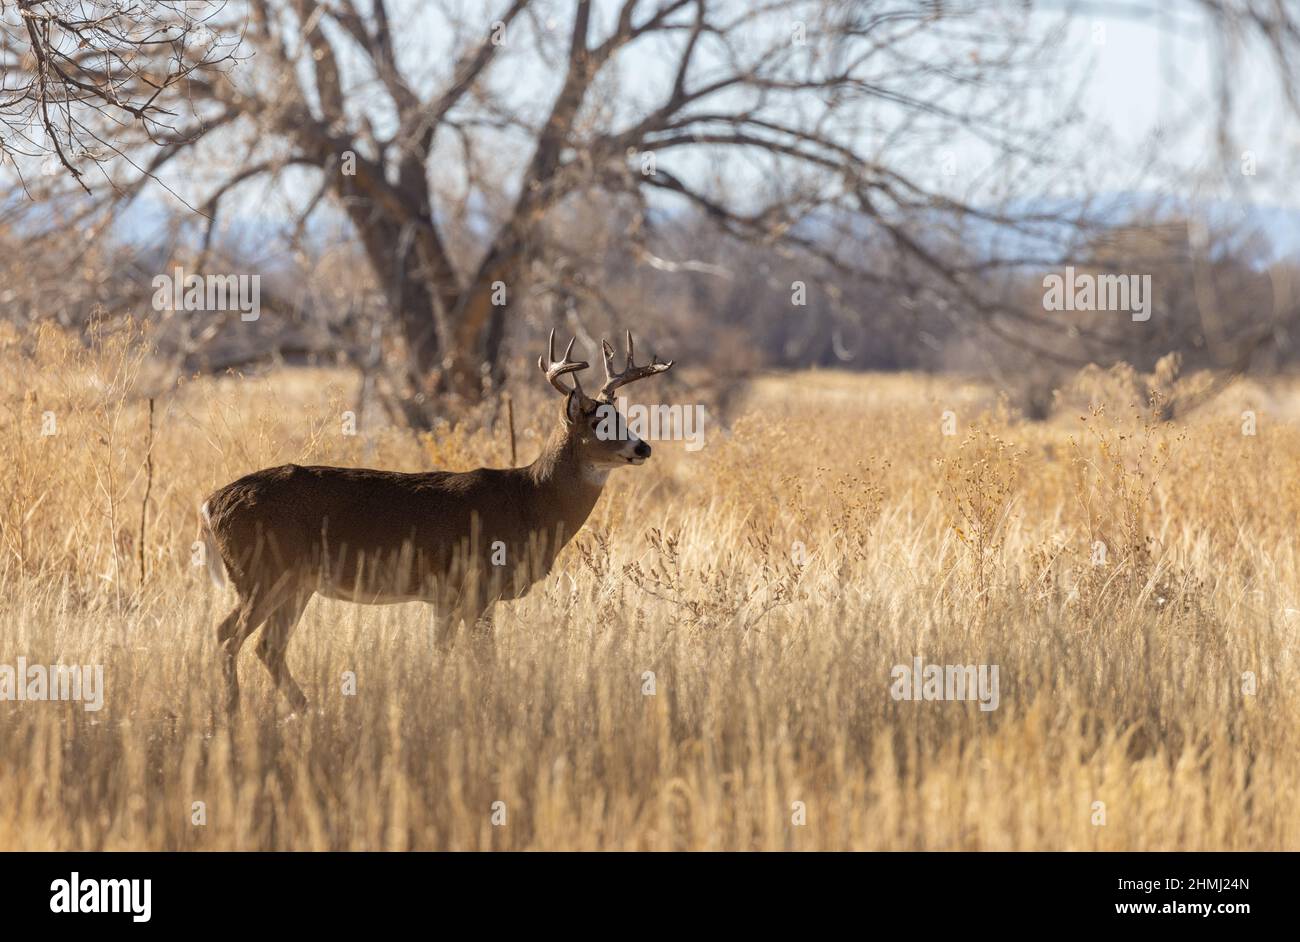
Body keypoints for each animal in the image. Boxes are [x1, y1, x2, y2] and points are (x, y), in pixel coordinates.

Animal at [200, 330, 673, 713]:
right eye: (600, 422)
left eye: (623, 416)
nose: (644, 448)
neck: (530, 502)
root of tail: (209, 504)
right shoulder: (479, 587)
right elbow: (485, 661)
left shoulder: (444, 598)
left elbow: (439, 656)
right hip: (263, 571)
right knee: (228, 635)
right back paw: (231, 711)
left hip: (296, 582)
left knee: (268, 647)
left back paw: (306, 708)